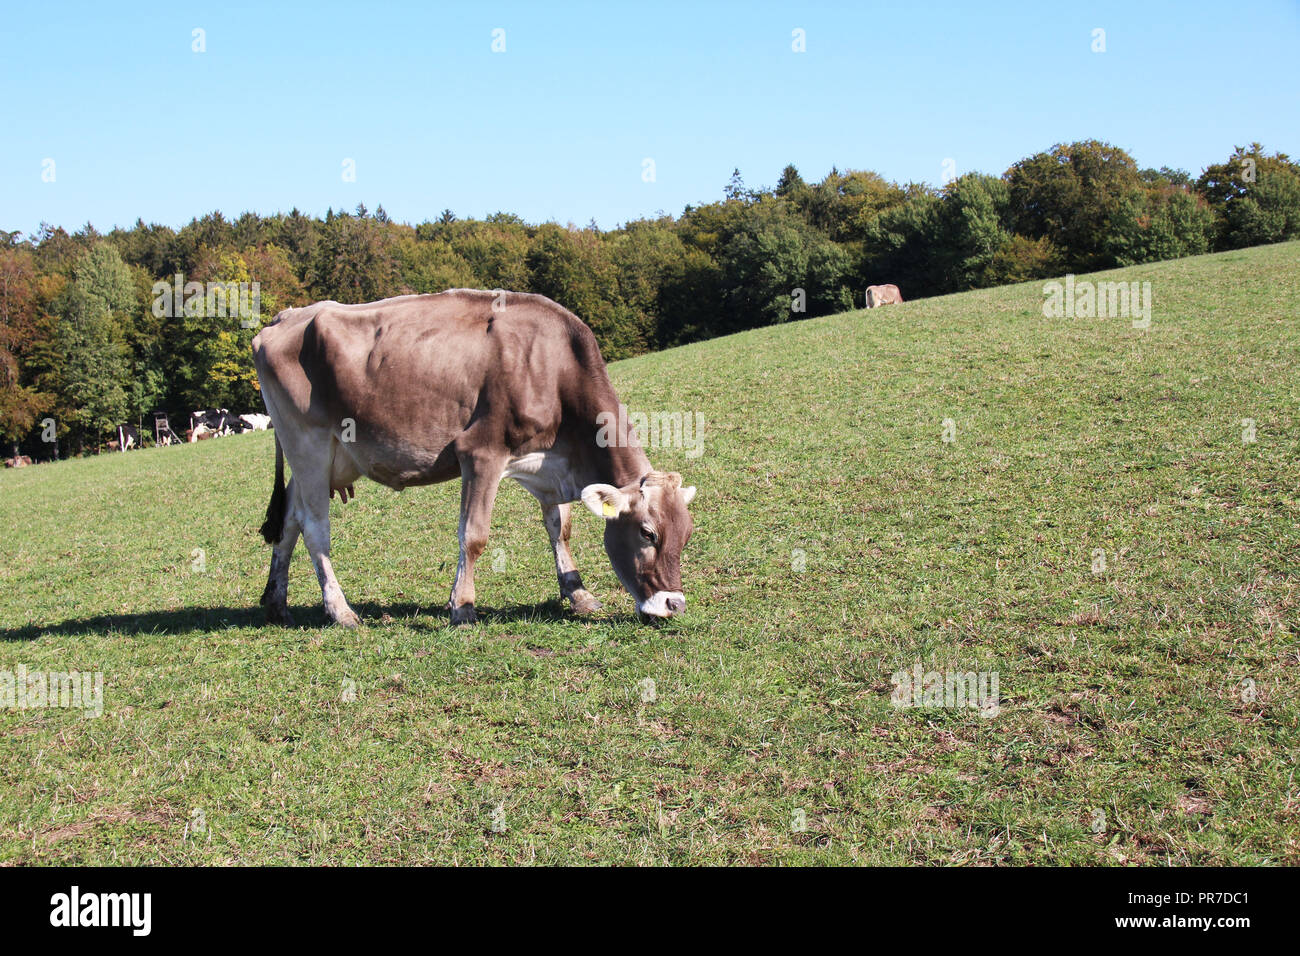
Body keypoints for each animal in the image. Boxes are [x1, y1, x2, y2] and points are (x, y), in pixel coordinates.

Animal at [252, 290, 697, 628]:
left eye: (687, 535)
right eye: (647, 533)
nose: (674, 605)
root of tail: (289, 315)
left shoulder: (548, 463)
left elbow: (560, 527)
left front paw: (578, 592)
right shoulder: (481, 452)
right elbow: (474, 535)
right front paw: (462, 607)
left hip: (325, 455)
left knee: (289, 519)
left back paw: (275, 602)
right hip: (306, 442)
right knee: (314, 527)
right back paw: (340, 610)